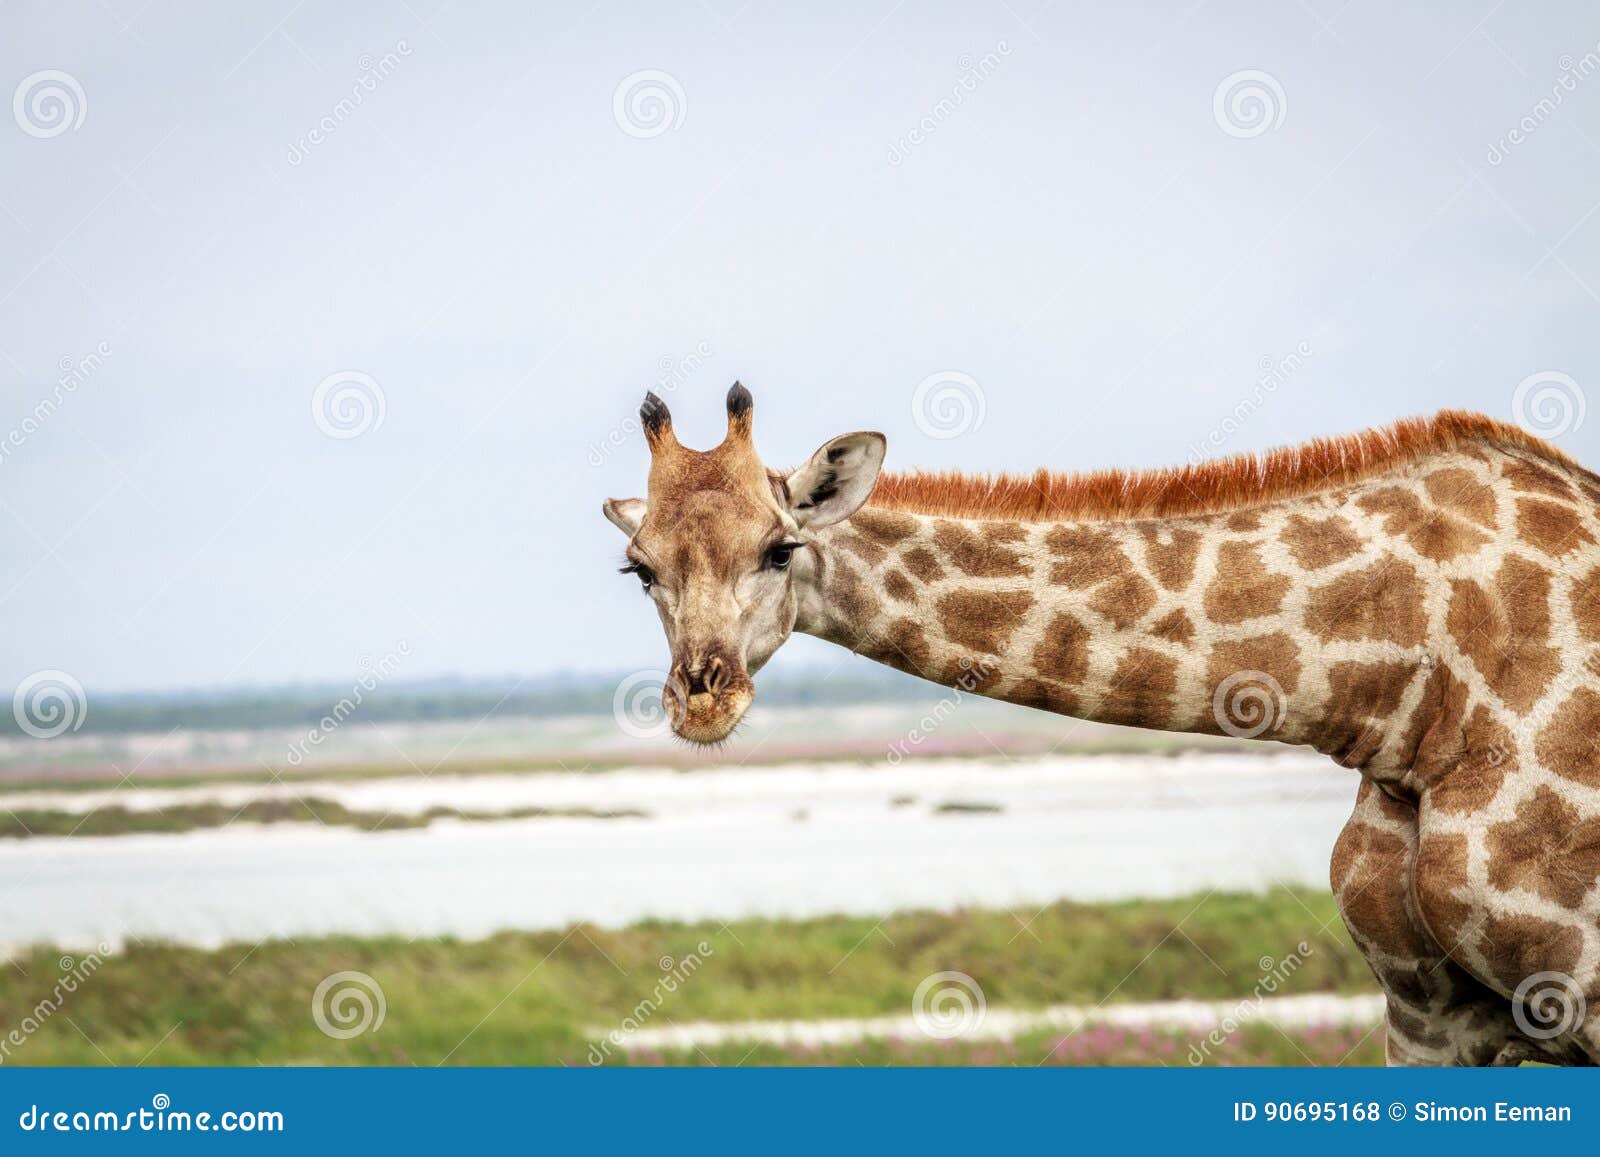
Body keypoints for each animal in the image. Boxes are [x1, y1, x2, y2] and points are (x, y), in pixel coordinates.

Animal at [603, 383, 1600, 1066]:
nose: (703, 696)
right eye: (638, 568)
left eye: (781, 548)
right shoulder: (1427, 1012)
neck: (1407, 693)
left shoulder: (1575, 989)